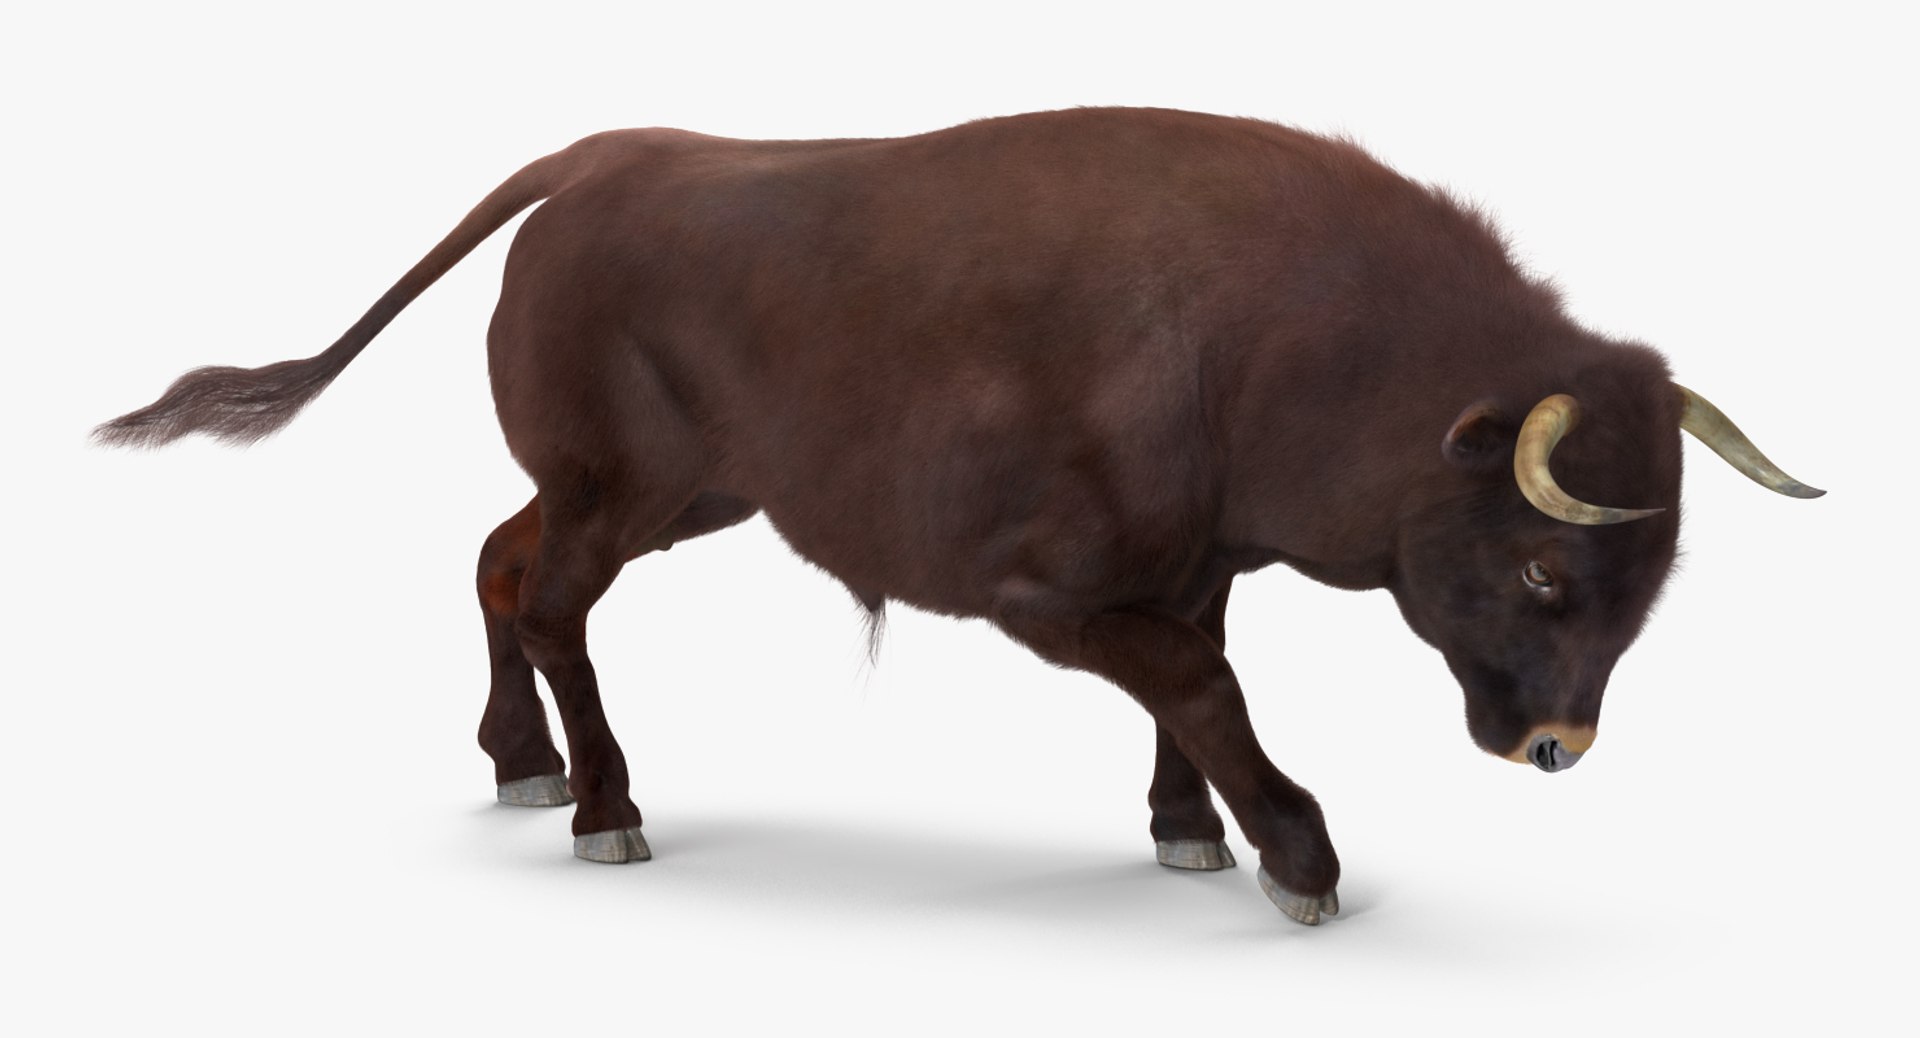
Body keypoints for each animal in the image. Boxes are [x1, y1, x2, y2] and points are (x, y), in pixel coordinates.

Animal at [96, 107, 1822, 925]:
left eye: (1651, 583)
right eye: (1542, 564)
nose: (1557, 746)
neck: (1288, 337)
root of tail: (602, 159)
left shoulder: (1191, 566)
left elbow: (1190, 683)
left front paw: (1189, 835)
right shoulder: (1045, 595)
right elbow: (1202, 683)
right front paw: (1299, 859)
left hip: (680, 496)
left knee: (499, 563)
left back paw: (520, 766)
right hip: (627, 493)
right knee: (554, 599)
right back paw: (605, 809)